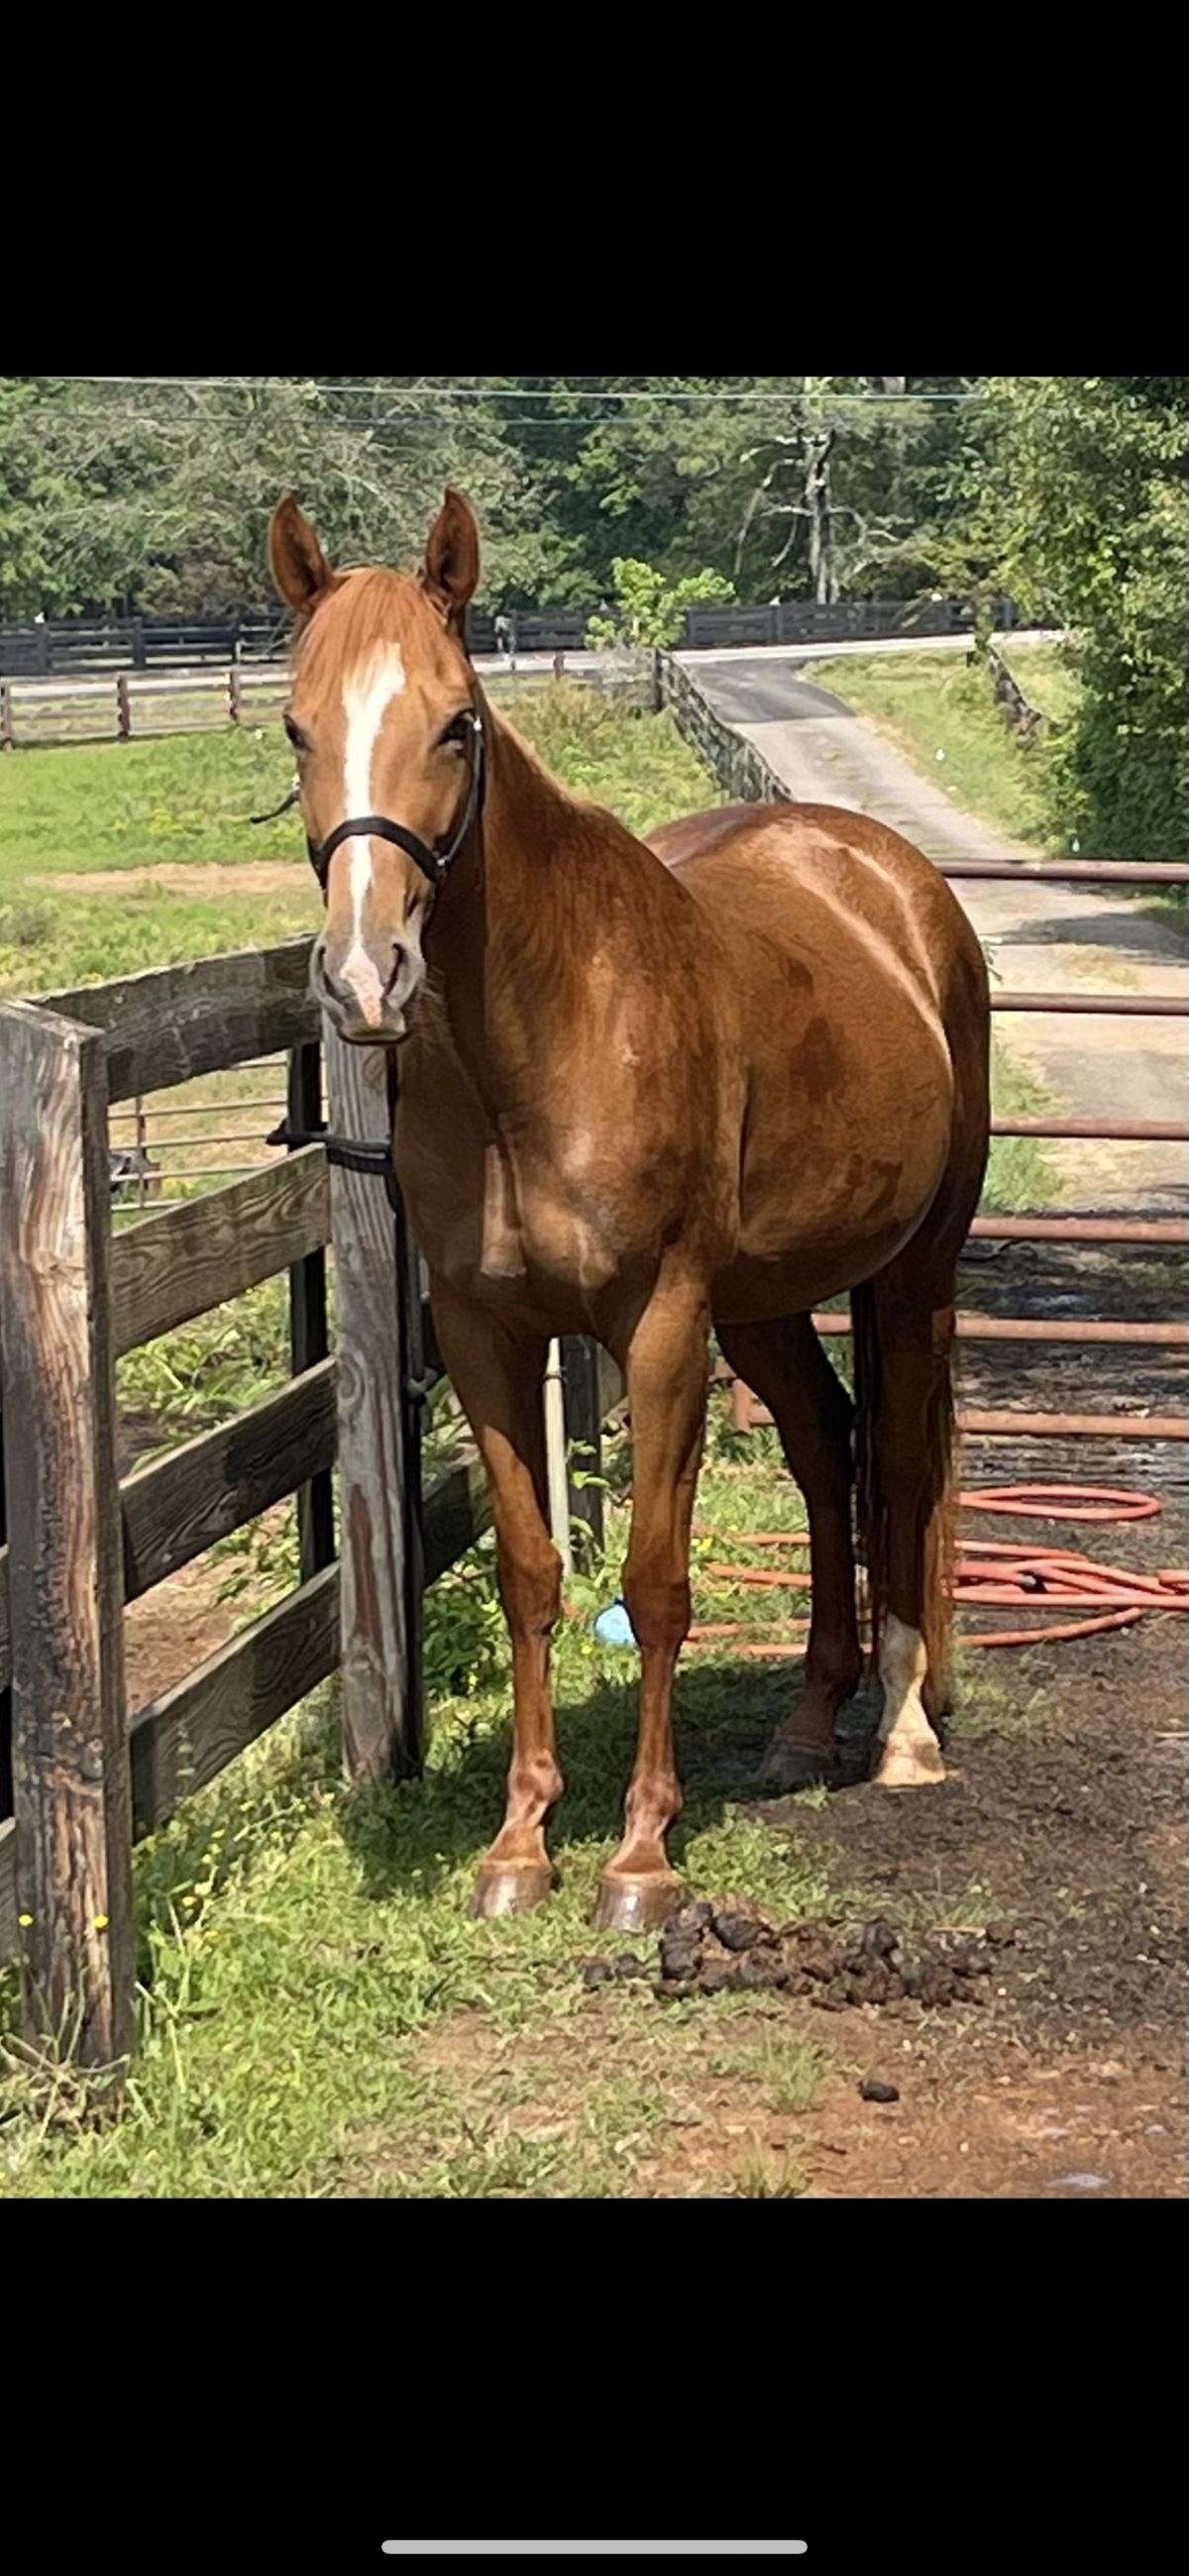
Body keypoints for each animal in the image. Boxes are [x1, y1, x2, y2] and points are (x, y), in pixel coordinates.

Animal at [268, 487, 991, 1932]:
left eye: (457, 721)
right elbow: (531, 1571)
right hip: (764, 1304)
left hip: (911, 1275)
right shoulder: (487, 1333)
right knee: (828, 1451)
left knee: (900, 1463)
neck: (544, 1042)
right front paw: (521, 1841)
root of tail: (891, 881)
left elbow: (656, 1579)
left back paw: (902, 1732)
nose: (368, 978)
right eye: (295, 726)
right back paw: (805, 1725)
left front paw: (643, 1855)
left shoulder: (659, 1326)